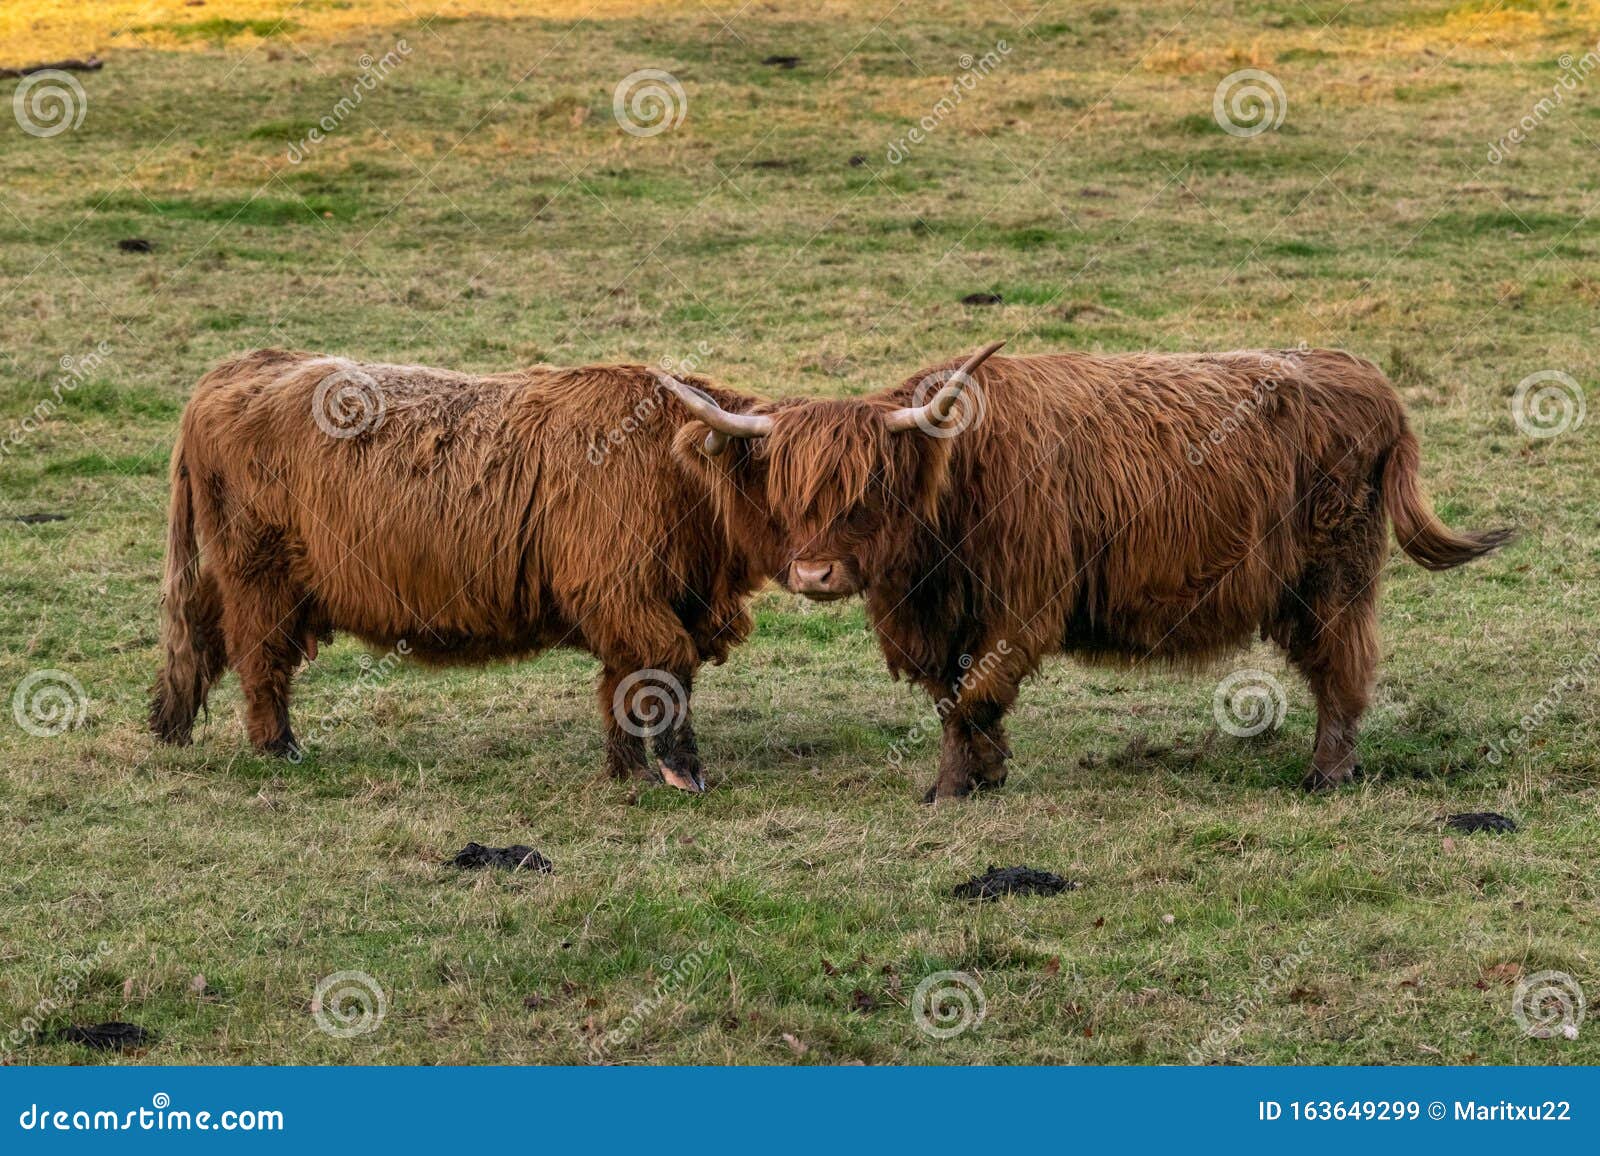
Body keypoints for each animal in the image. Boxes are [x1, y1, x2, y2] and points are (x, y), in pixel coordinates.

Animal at [149, 350, 763, 792]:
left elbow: (629, 681)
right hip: (261, 574)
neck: (674, 467)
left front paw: (628, 768)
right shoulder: (622, 593)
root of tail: (241, 366)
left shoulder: (636, 603)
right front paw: (681, 768)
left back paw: (168, 721)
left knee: (198, 627)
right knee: (260, 656)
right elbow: (664, 666)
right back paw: (278, 747)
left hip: (239, 571)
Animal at [655, 342, 1512, 800]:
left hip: (1333, 573)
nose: (816, 575)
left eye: (868, 491)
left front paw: (954, 786)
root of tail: (1368, 379)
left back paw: (1327, 773)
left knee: (1341, 665)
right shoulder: (940, 617)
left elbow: (975, 691)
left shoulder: (1023, 600)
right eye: (789, 492)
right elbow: (955, 696)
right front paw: (979, 776)